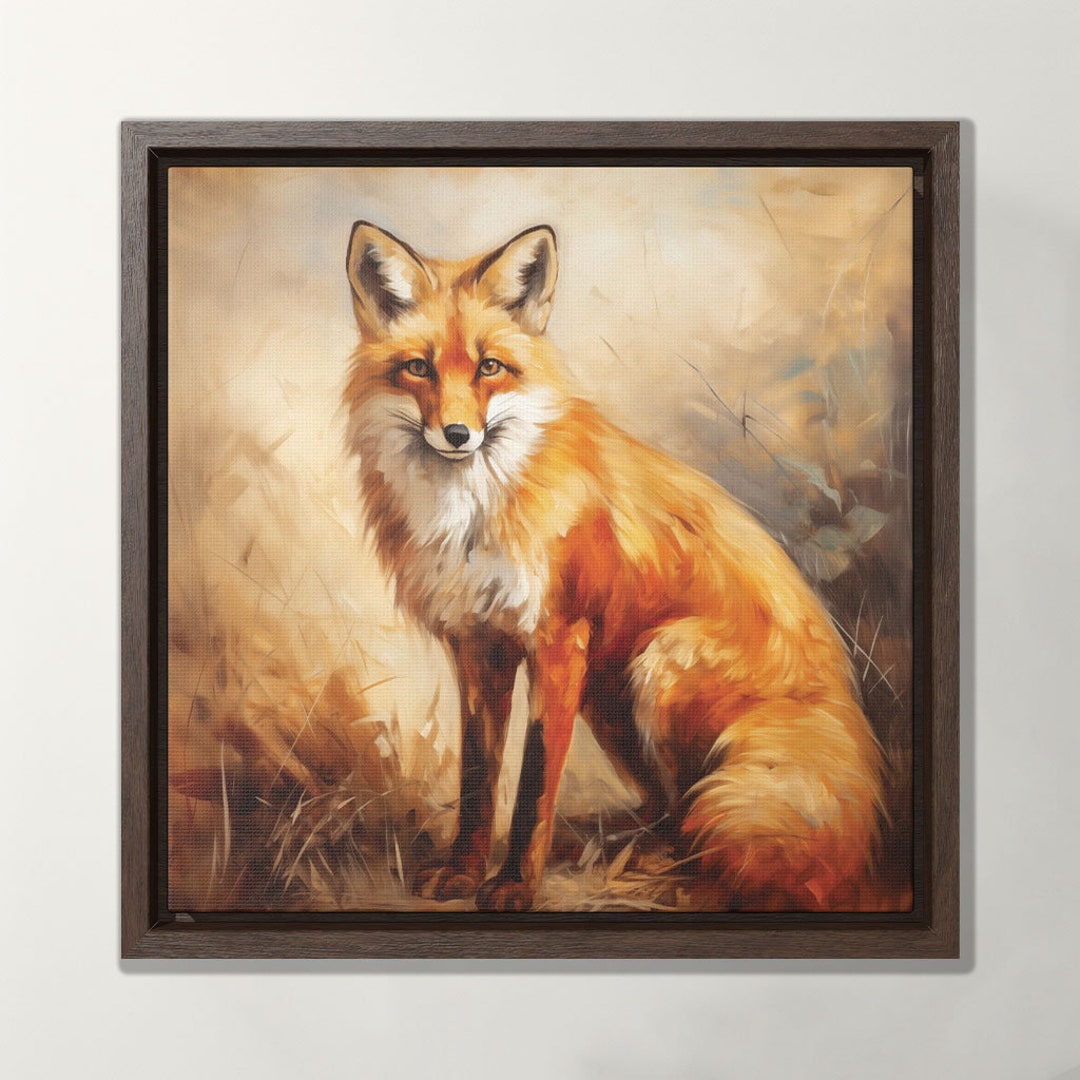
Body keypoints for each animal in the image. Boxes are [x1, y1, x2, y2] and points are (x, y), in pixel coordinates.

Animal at [342, 221, 885, 912]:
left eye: (490, 367)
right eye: (418, 368)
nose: (459, 435)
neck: (471, 515)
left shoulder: (557, 641)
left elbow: (533, 785)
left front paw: (514, 885)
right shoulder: (479, 645)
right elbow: (476, 780)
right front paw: (464, 871)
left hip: (659, 663)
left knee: (702, 833)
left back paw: (667, 877)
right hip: (611, 696)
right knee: (667, 812)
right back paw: (613, 845)